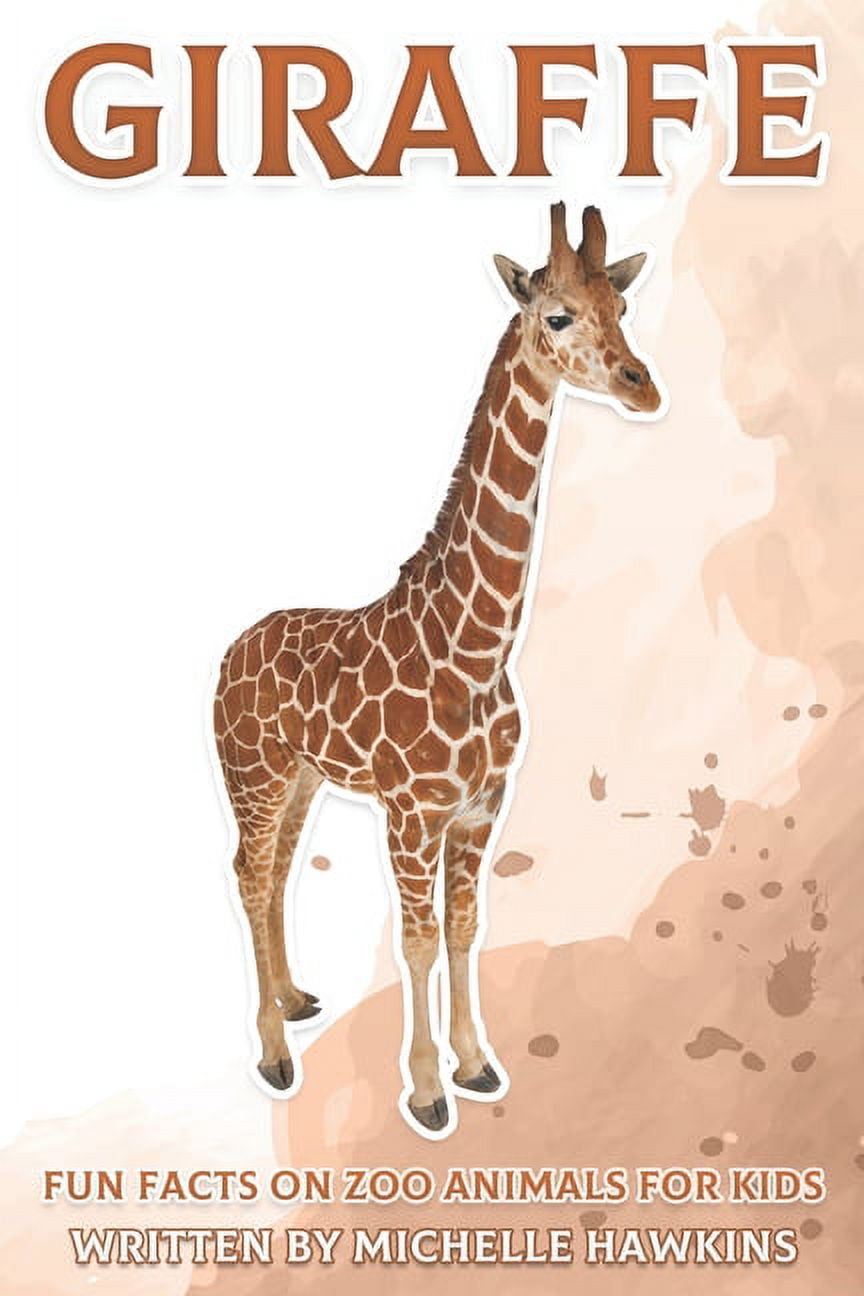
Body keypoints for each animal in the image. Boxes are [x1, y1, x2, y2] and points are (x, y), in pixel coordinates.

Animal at [214, 202, 662, 1134]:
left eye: (623, 307)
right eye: (557, 315)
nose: (643, 385)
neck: (480, 649)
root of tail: (231, 649)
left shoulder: (480, 809)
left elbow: (463, 931)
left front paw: (478, 1064)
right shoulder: (411, 814)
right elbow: (416, 939)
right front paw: (425, 1091)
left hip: (299, 779)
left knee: (272, 876)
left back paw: (296, 1001)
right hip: (254, 774)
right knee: (247, 871)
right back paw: (273, 1052)